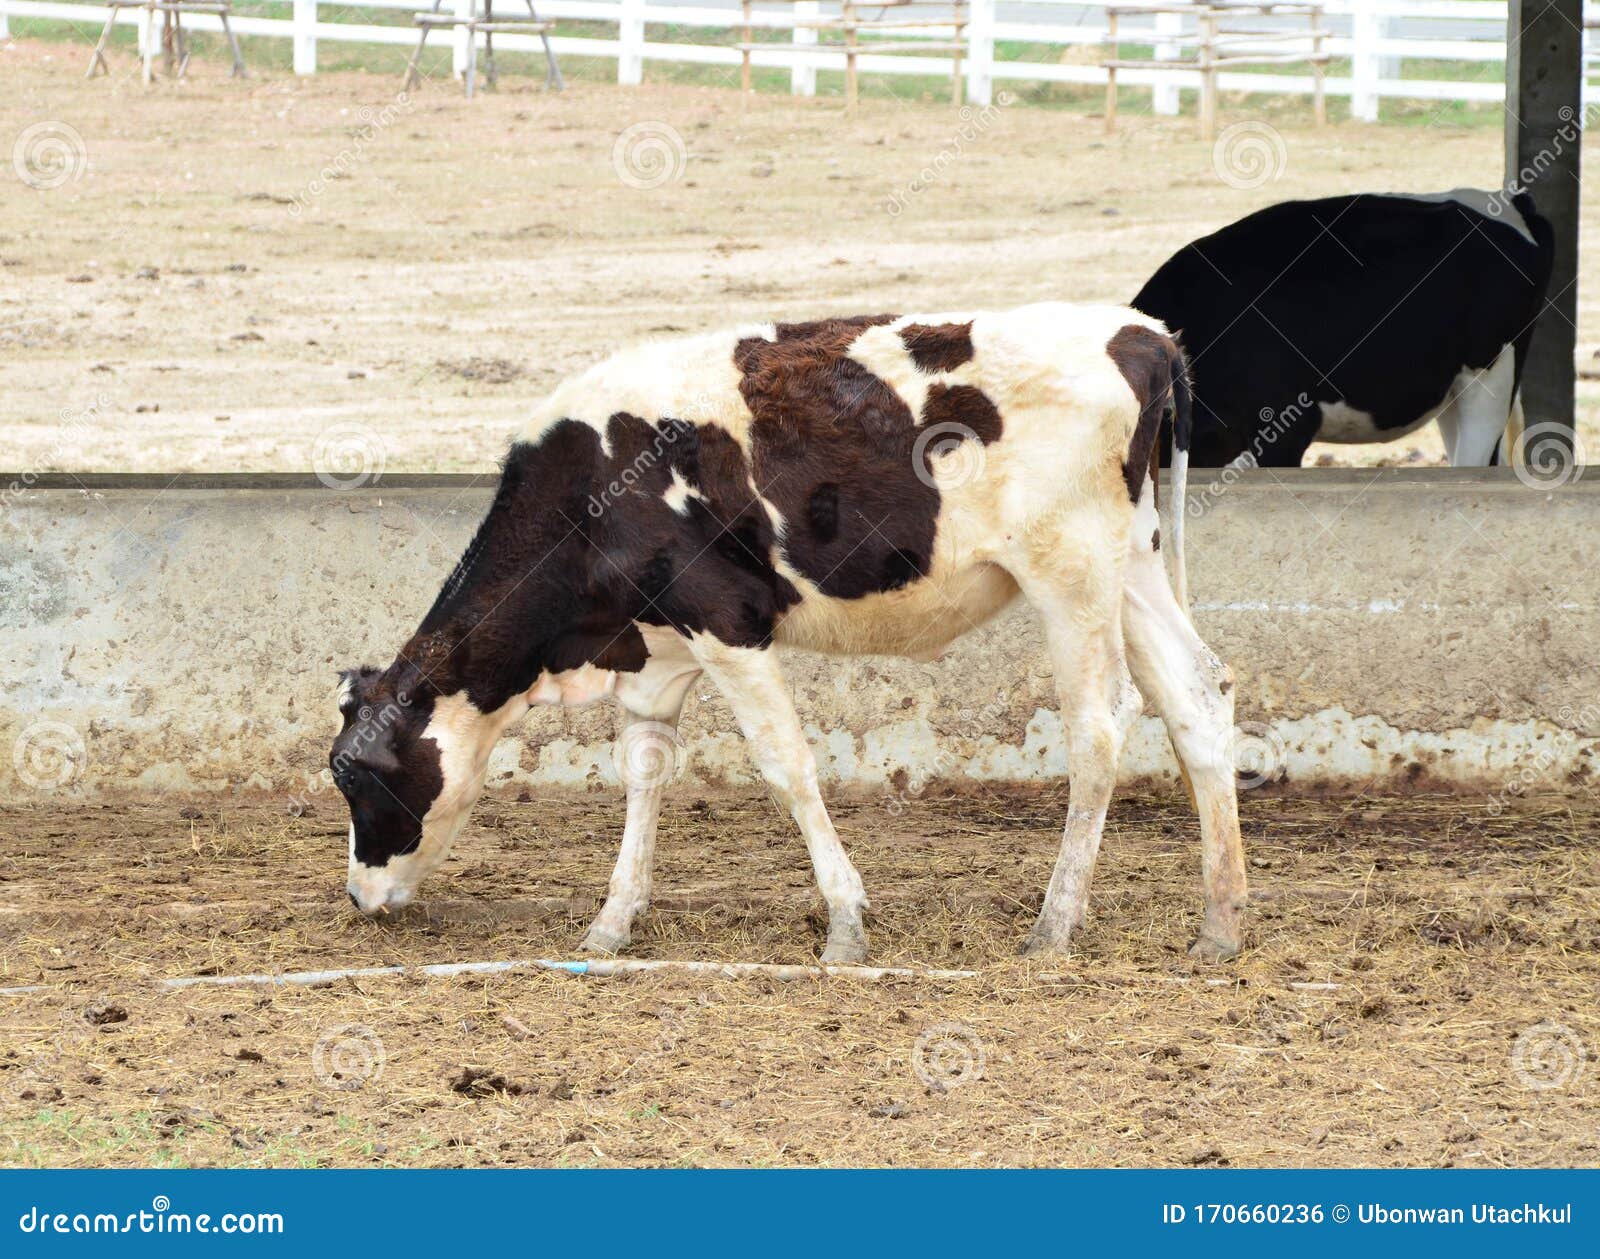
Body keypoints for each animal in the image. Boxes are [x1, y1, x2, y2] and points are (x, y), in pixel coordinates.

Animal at [329, 304, 1247, 963]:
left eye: (352, 772)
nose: (356, 896)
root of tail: (1140, 333)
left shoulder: (725, 622)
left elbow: (786, 764)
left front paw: (845, 922)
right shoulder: (656, 651)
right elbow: (643, 772)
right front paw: (612, 922)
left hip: (1071, 573)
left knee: (1101, 724)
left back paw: (1053, 927)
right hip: (1134, 564)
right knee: (1197, 694)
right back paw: (1219, 920)